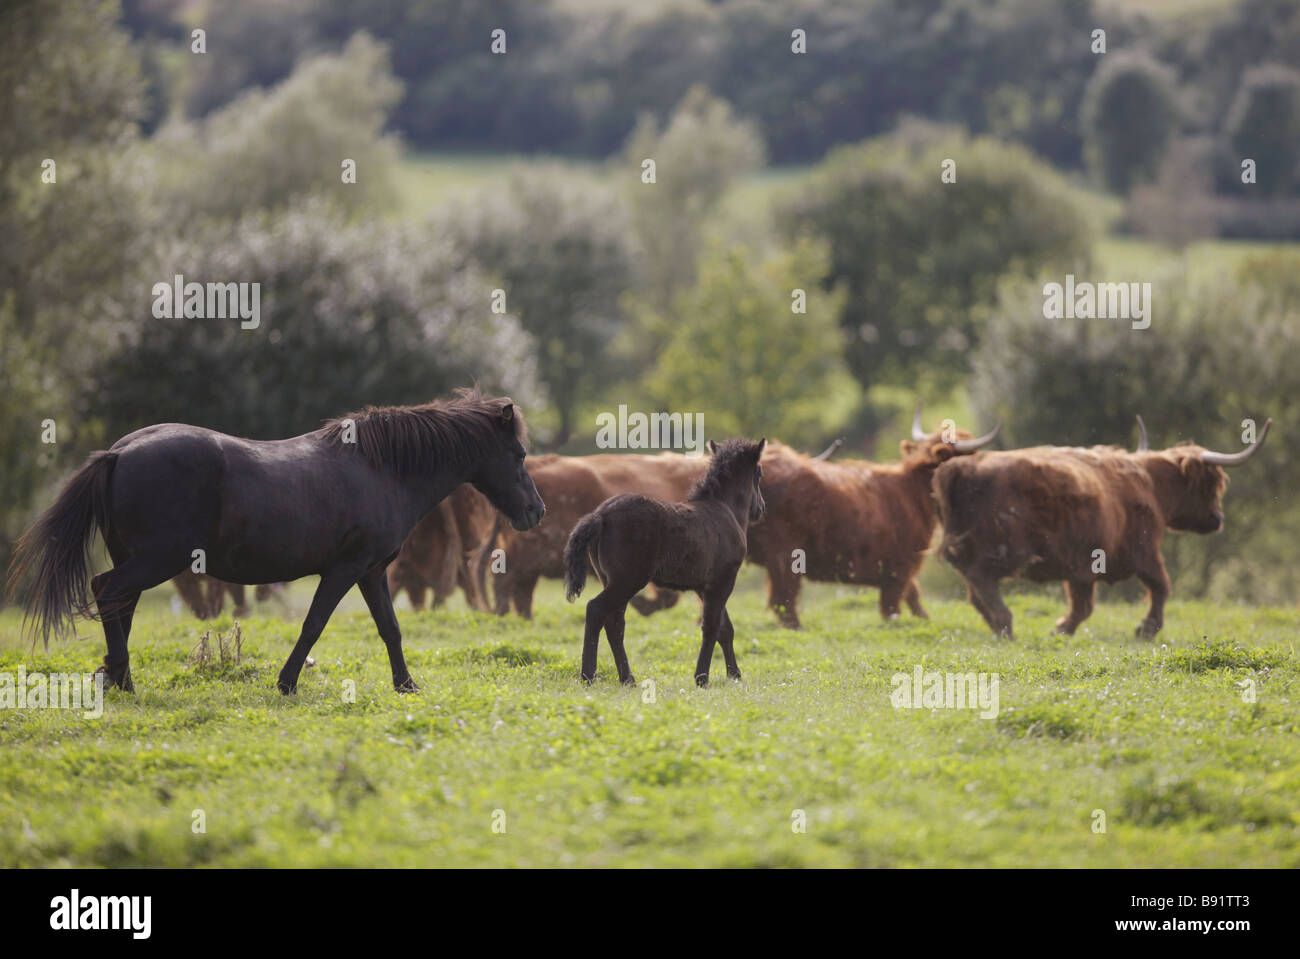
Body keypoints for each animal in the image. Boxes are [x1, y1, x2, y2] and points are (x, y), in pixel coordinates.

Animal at [8, 389, 545, 694]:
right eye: (518, 454)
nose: (536, 512)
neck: (381, 468)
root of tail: (119, 452)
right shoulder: (345, 569)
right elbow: (313, 625)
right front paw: (286, 683)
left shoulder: (372, 572)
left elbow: (390, 629)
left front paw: (406, 685)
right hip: (156, 560)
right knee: (107, 591)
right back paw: (123, 680)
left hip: (138, 558)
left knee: (121, 605)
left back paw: (117, 680)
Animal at [563, 439, 766, 687]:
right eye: (759, 473)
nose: (760, 508)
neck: (725, 509)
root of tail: (600, 515)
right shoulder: (723, 581)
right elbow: (711, 626)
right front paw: (702, 678)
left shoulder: (703, 587)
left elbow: (725, 628)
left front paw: (734, 674)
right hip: (628, 580)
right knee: (596, 610)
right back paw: (588, 675)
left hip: (609, 579)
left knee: (615, 623)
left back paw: (628, 679)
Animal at [745, 405, 1000, 627]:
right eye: (972, 455)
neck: (912, 493)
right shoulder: (901, 566)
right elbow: (892, 607)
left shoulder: (901, 569)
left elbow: (913, 597)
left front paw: (924, 620)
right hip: (785, 556)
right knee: (783, 601)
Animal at [933, 416, 1272, 639]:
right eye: (1212, 484)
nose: (1218, 519)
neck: (1149, 484)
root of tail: (964, 466)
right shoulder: (1145, 551)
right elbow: (1161, 586)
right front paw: (1146, 629)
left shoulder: (1081, 567)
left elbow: (1083, 604)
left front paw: (1062, 628)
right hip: (1007, 550)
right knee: (982, 578)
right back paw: (1005, 623)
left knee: (974, 588)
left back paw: (996, 623)